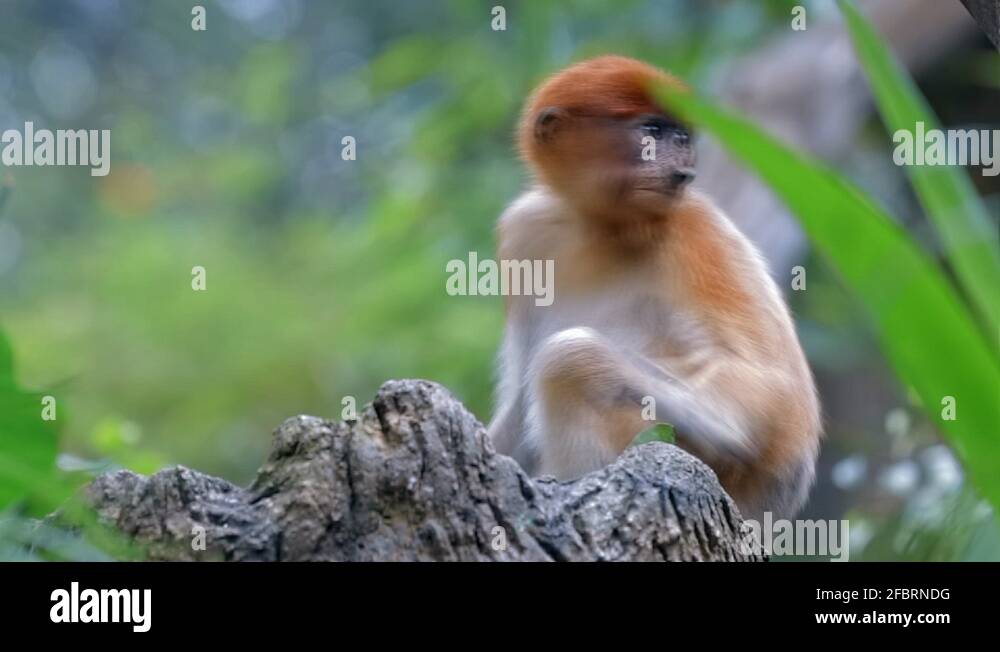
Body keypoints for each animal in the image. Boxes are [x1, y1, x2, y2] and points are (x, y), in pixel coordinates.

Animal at [487, 55, 821, 520]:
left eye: (681, 137)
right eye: (653, 130)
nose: (682, 171)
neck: (603, 228)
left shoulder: (695, 230)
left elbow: (754, 402)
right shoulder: (525, 230)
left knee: (568, 361)